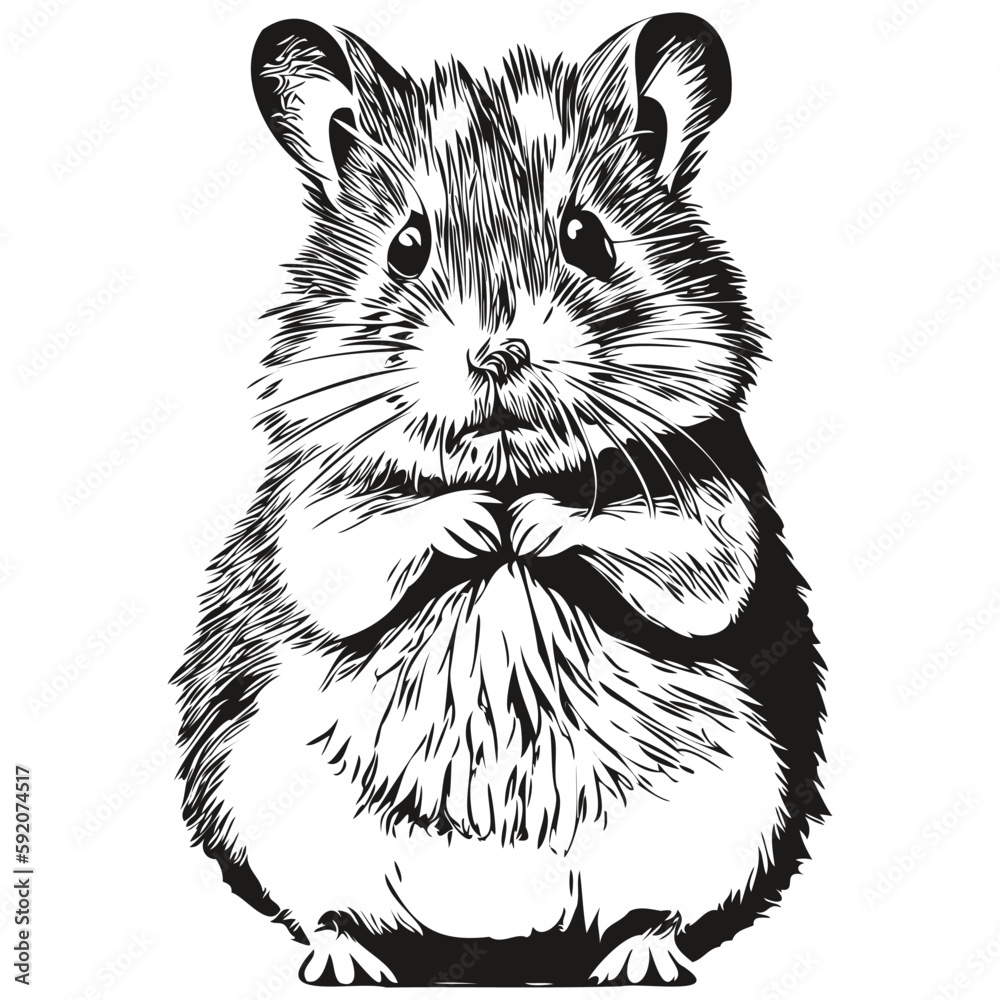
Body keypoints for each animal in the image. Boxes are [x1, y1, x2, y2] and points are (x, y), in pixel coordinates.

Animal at [173, 13, 827, 987]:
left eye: (588, 238)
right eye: (405, 248)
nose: (496, 355)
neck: (506, 463)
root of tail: (496, 937)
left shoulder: (713, 507)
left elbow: (684, 566)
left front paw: (530, 524)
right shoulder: (314, 518)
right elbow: (356, 551)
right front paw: (481, 521)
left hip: (738, 810)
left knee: (666, 910)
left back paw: (638, 958)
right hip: (264, 803)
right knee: (322, 910)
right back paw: (347, 960)